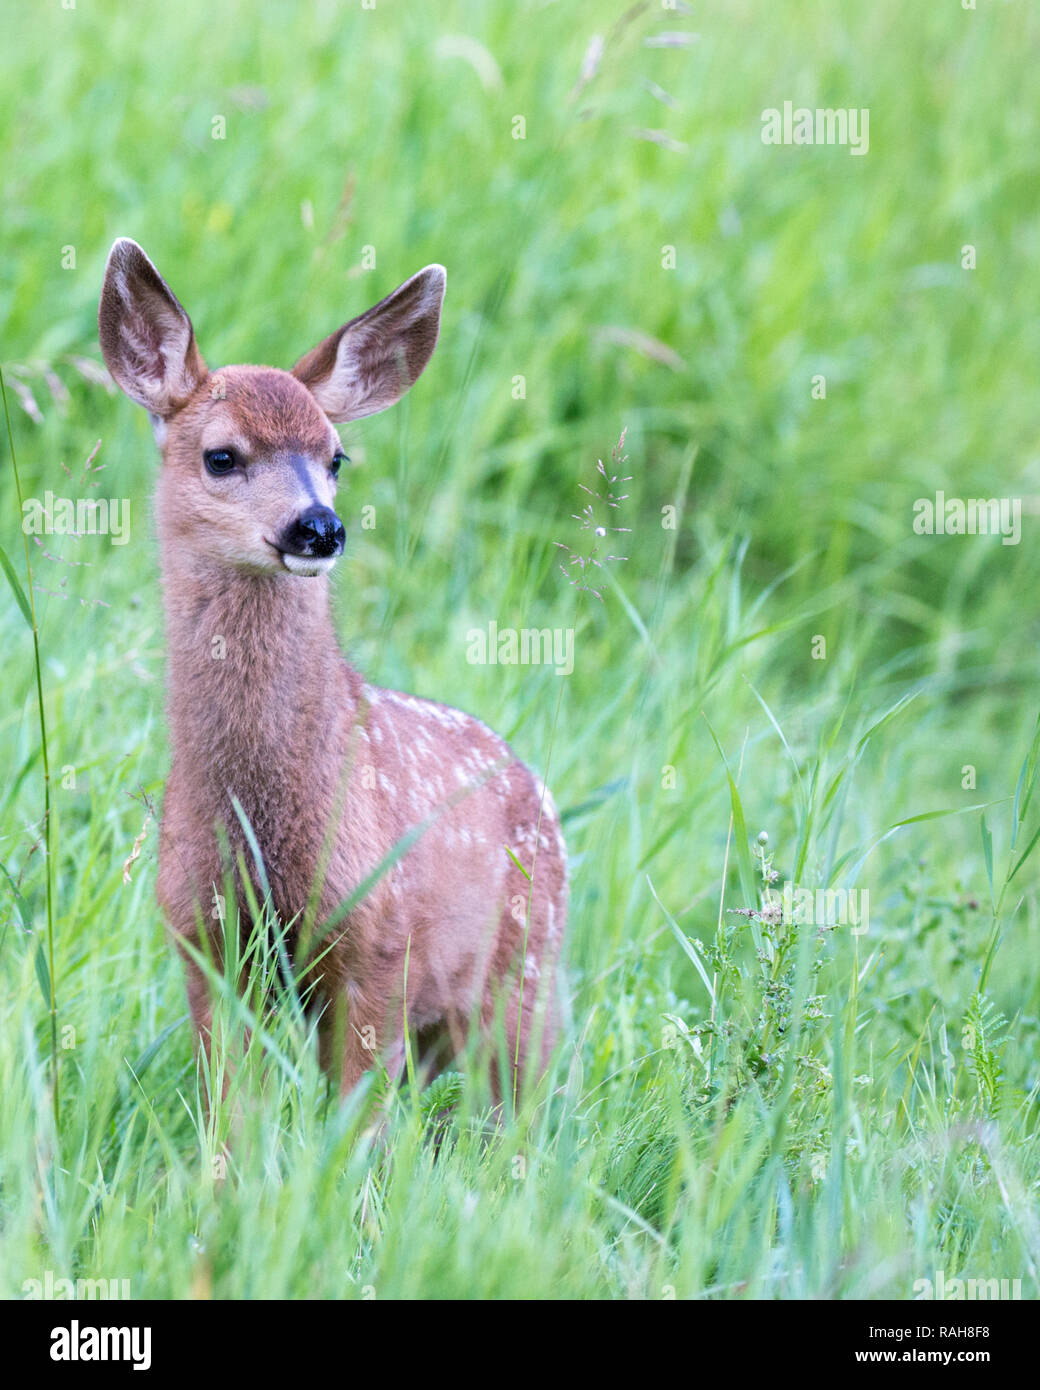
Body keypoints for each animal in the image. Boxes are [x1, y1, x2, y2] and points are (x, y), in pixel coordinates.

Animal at [98, 238, 567, 1106]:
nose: (318, 526)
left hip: (527, 967)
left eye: (335, 457)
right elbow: (232, 1110)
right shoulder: (204, 940)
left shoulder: (381, 942)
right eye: (222, 456)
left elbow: (354, 1124)